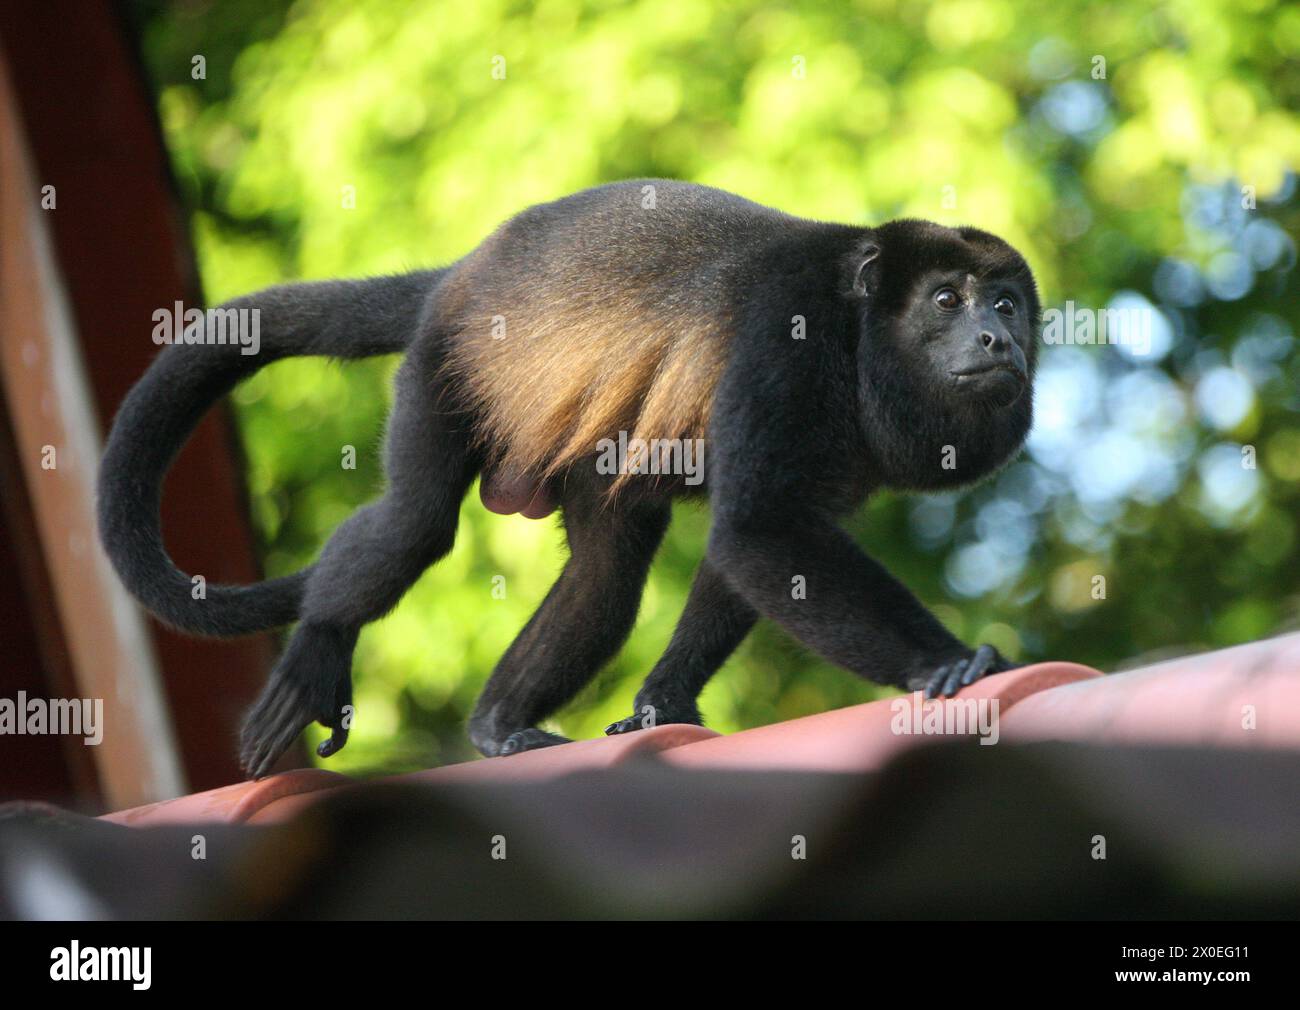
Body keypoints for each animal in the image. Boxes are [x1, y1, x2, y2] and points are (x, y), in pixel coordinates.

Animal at [97, 179, 1039, 779]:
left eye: (1006, 304)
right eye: (947, 302)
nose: (1000, 339)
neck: (856, 324)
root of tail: (463, 273)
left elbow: (755, 547)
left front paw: (662, 704)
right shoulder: (789, 331)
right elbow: (760, 527)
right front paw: (949, 665)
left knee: (606, 573)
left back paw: (497, 726)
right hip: (447, 365)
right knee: (413, 522)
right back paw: (318, 650)